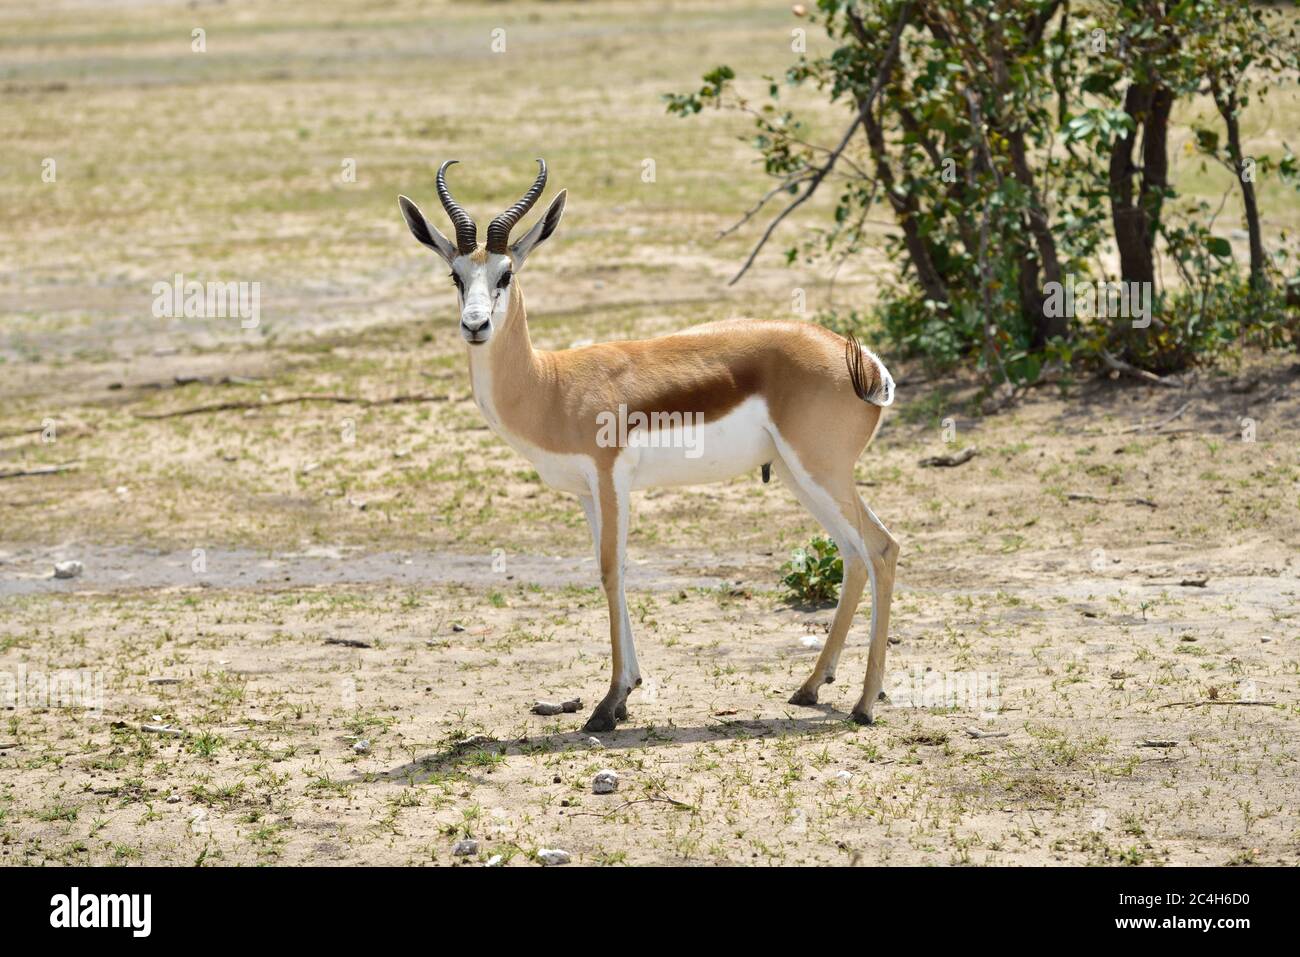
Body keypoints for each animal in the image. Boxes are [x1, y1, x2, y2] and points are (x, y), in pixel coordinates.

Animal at [398, 159, 899, 733]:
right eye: (456, 275)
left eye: (505, 274)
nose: (475, 325)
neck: (551, 383)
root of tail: (859, 361)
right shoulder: (587, 492)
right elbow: (610, 572)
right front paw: (624, 694)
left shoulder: (611, 478)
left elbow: (611, 570)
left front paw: (609, 702)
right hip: (800, 475)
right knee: (853, 555)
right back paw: (811, 687)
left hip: (823, 470)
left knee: (881, 548)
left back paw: (863, 704)